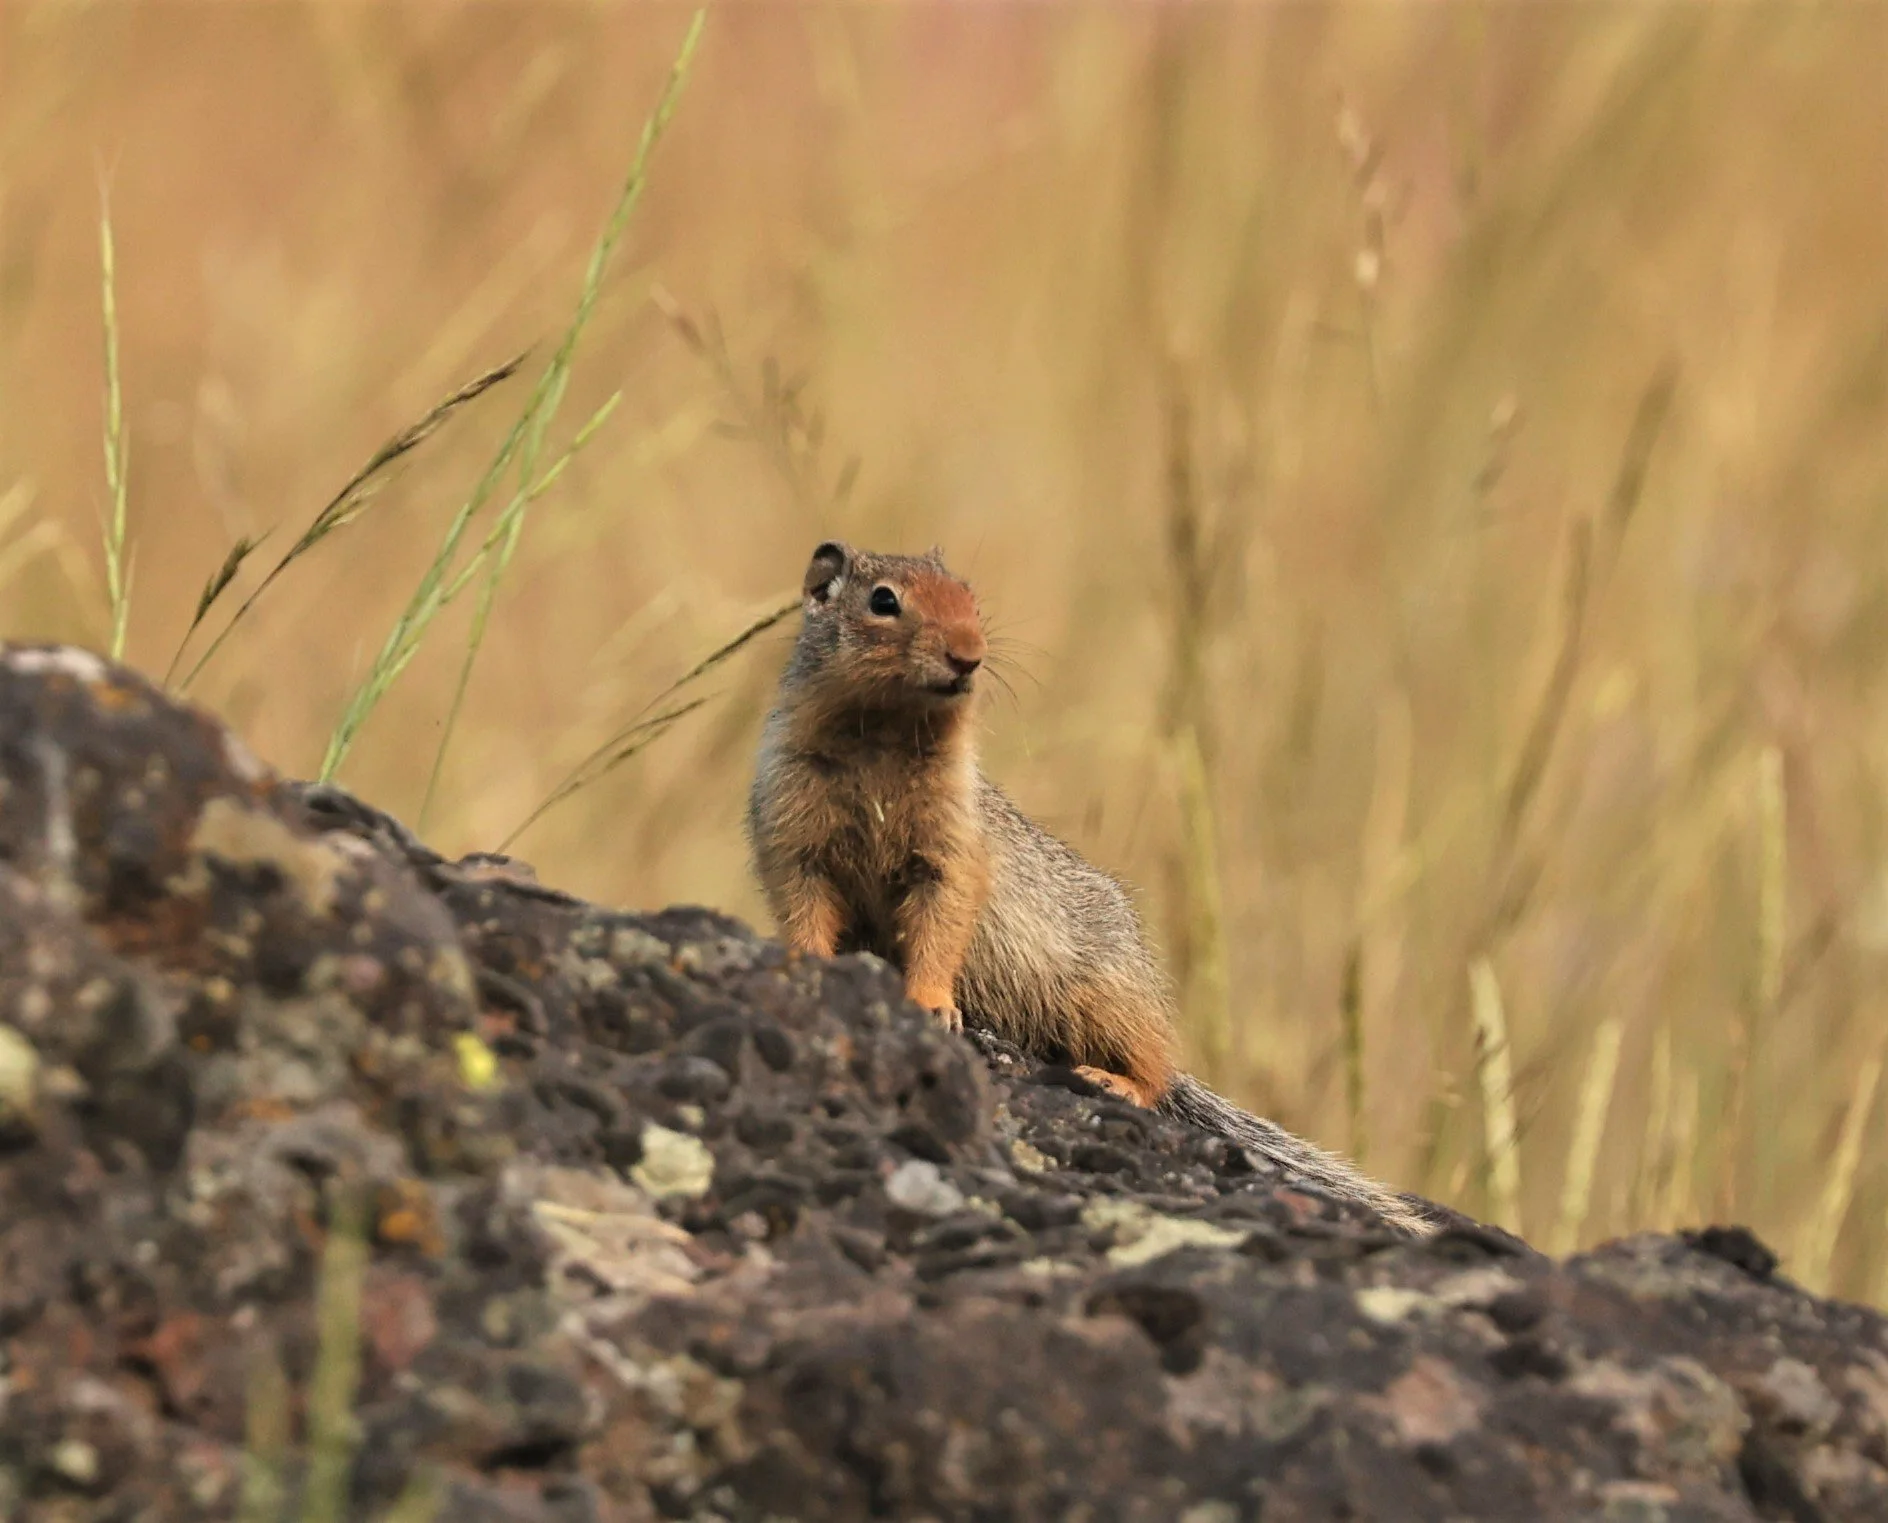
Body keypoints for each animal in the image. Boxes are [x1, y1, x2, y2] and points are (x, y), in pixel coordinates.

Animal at [748, 541, 1435, 1237]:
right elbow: (803, 909)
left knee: (1157, 1067)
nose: (970, 654)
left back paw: (1115, 1083)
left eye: (971, 599)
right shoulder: (791, 835)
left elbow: (942, 926)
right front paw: (812, 965)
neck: (883, 733)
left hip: (1104, 994)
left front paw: (932, 1001)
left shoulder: (952, 854)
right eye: (883, 601)